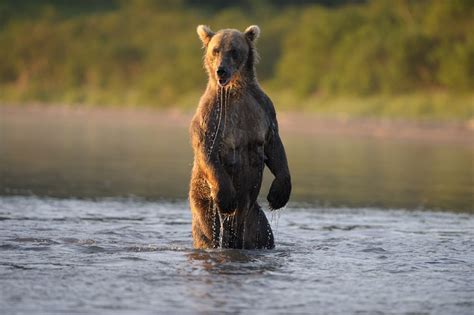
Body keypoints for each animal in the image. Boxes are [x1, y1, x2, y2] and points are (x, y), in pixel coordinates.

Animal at [188, 24, 290, 251]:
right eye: (216, 50)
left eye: (234, 51)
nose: (221, 70)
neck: (234, 90)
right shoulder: (212, 115)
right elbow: (207, 149)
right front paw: (228, 199)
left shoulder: (263, 110)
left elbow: (275, 147)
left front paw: (278, 195)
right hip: (204, 205)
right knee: (207, 233)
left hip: (257, 222)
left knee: (265, 237)